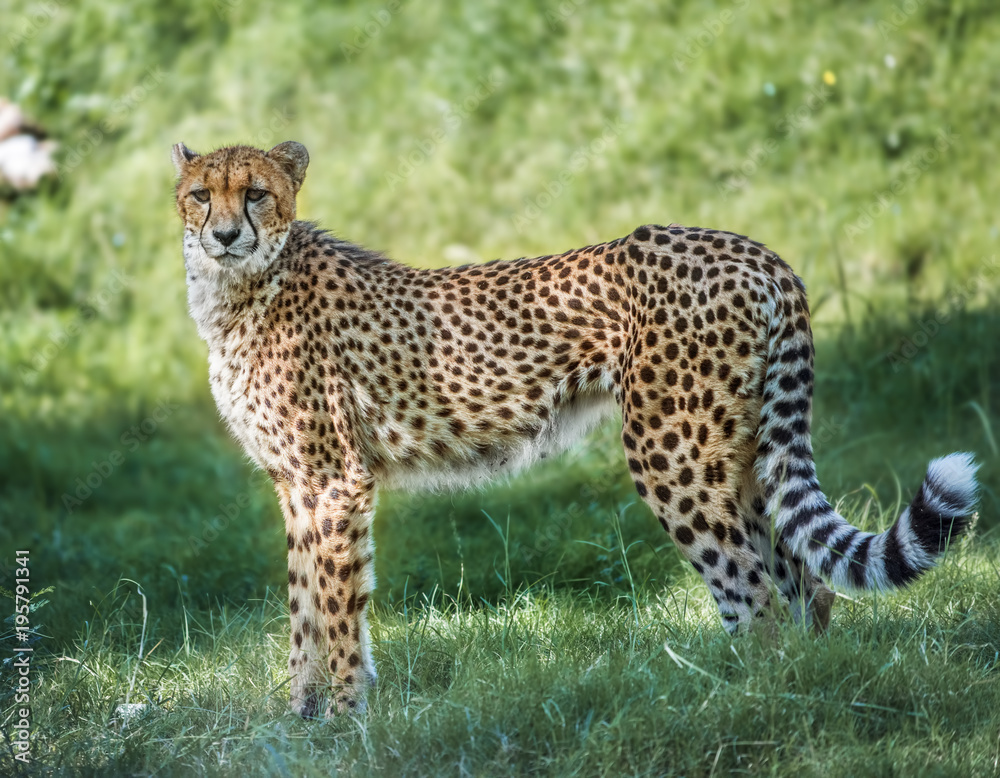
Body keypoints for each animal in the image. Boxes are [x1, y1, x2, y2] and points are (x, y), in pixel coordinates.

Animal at [172, 140, 979, 717]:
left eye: (256, 192)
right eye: (199, 195)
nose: (225, 234)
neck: (238, 288)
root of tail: (752, 248)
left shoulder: (335, 481)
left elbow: (336, 607)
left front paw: (343, 719)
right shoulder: (297, 484)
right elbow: (303, 605)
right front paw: (301, 715)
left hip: (671, 453)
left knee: (753, 591)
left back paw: (739, 707)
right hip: (743, 454)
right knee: (803, 582)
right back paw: (807, 683)